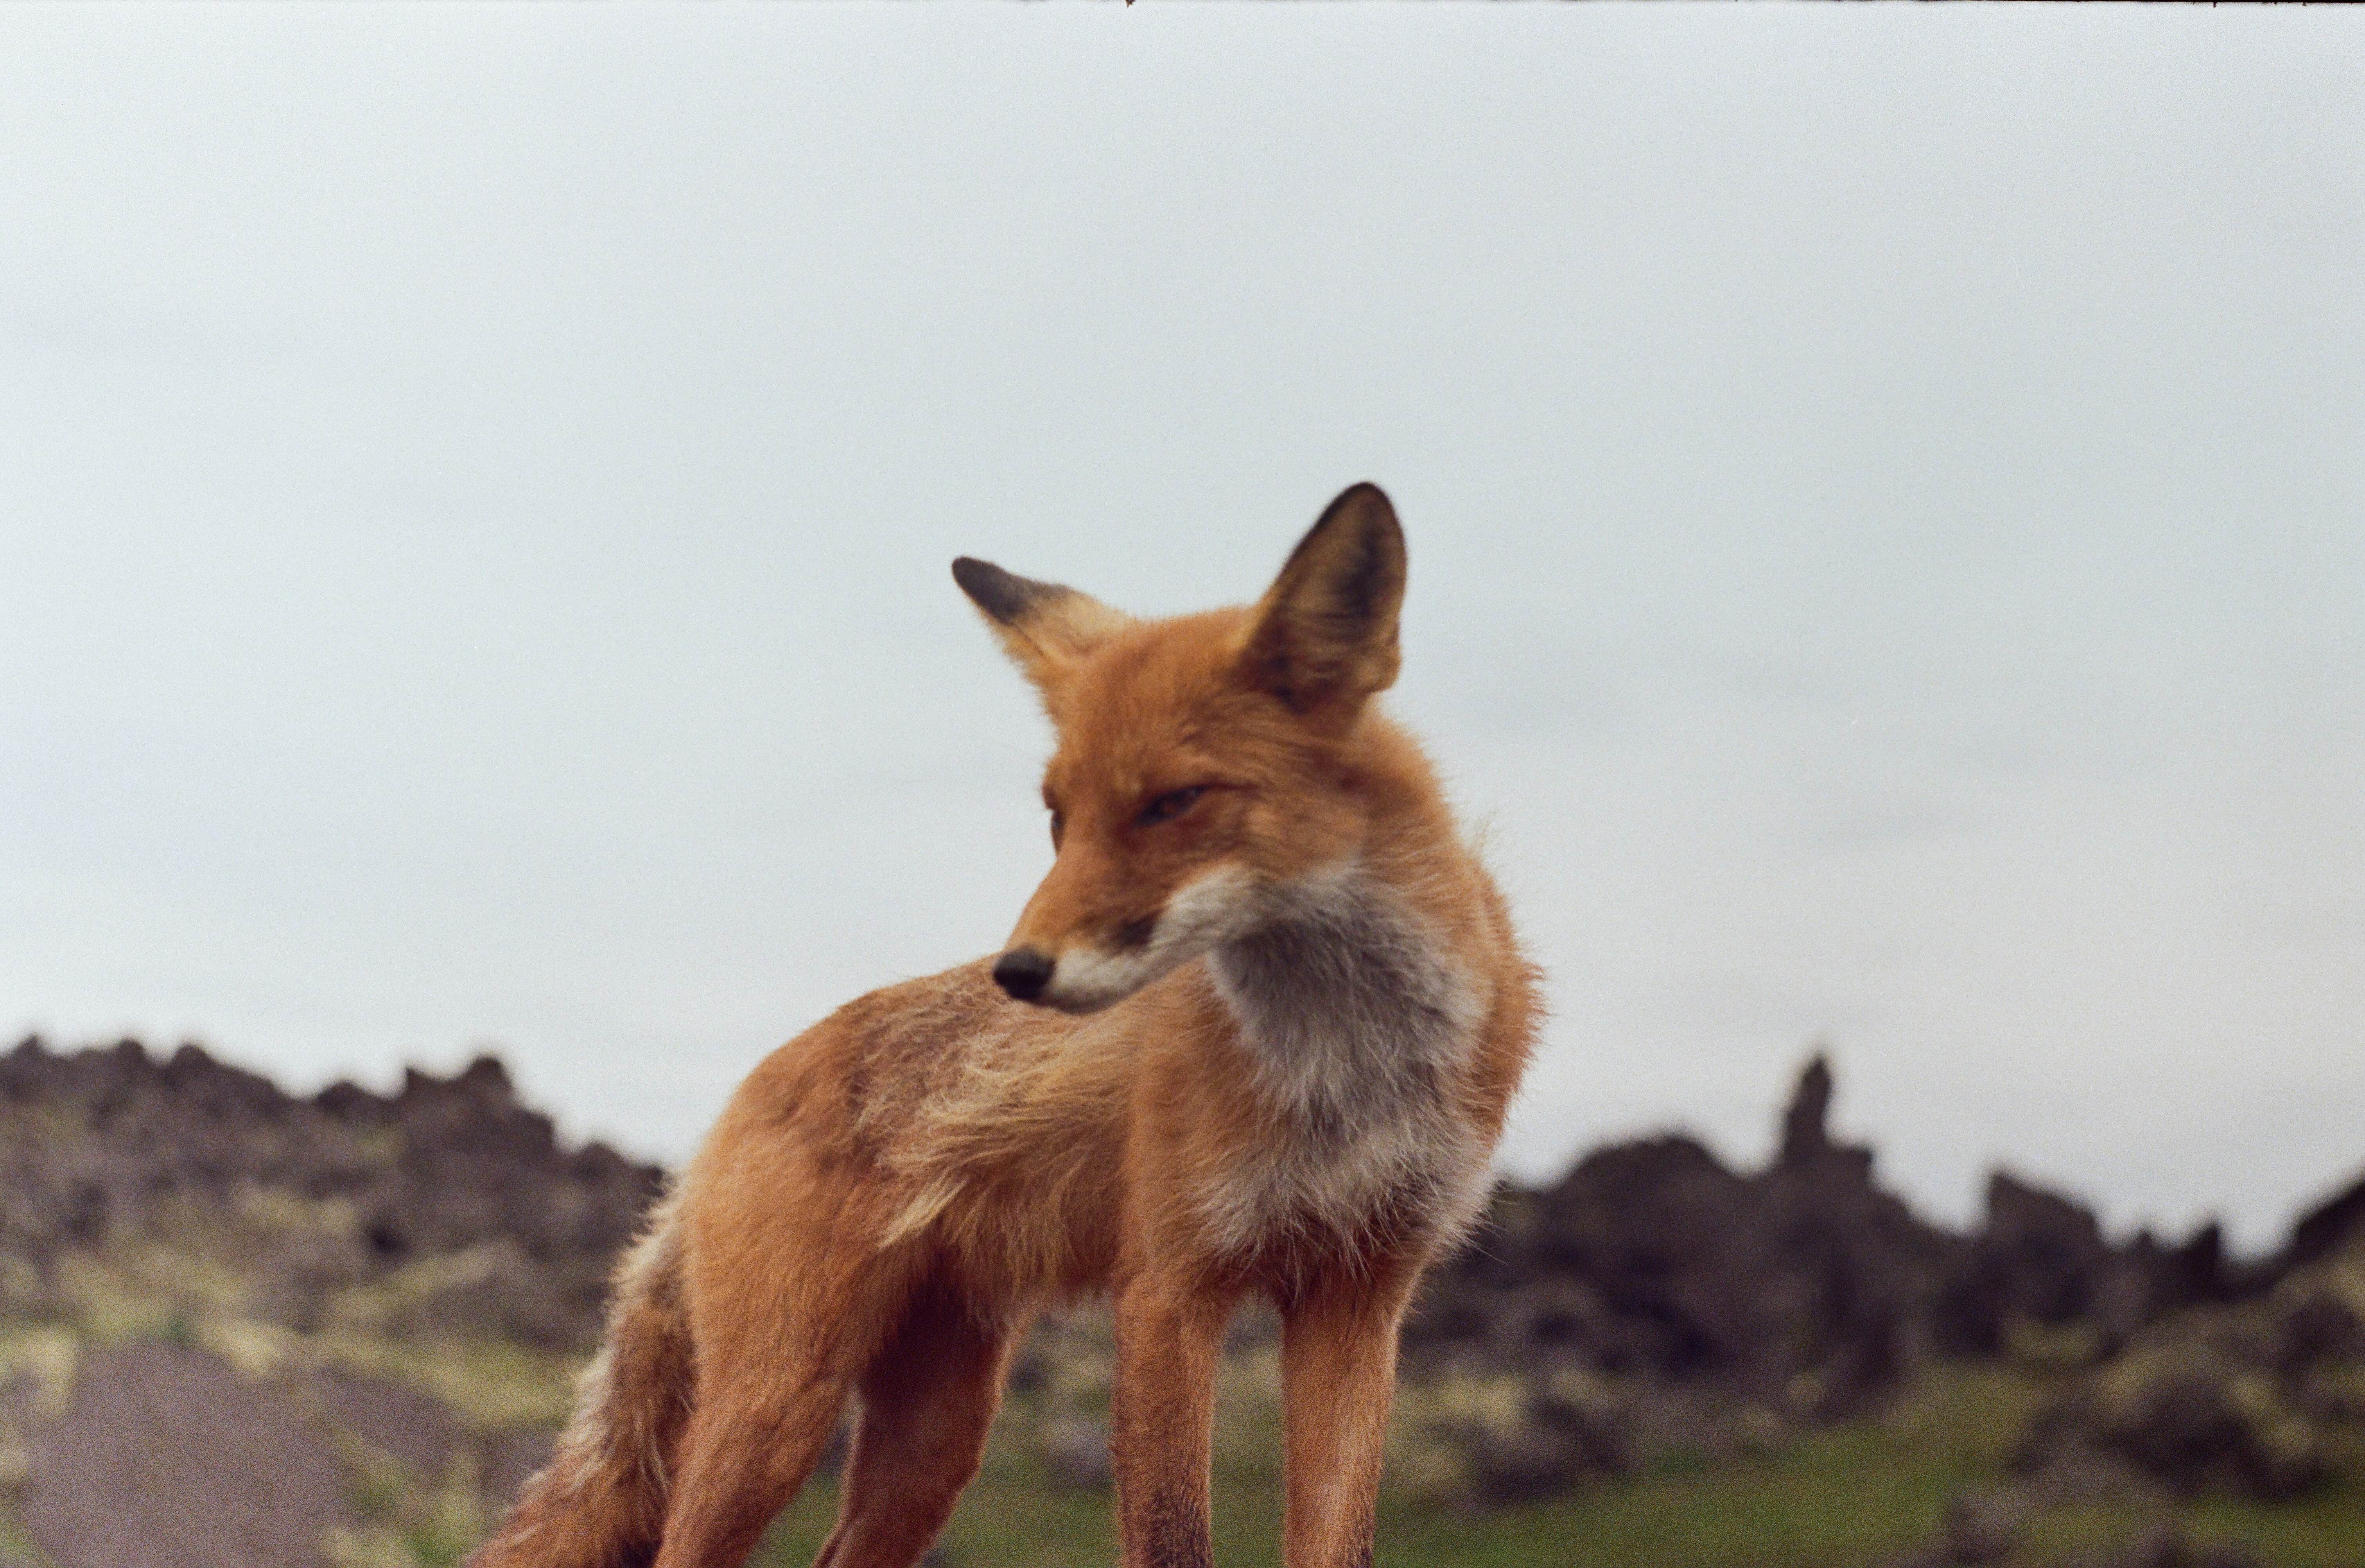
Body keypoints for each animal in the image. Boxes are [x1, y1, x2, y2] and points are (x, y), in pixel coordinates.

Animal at [469, 482, 1540, 1568]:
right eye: (1058, 817)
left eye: (1175, 803)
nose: (1017, 970)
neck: (1348, 1066)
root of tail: (729, 1104)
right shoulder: (1169, 1290)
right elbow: (1172, 1537)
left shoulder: (1361, 1294)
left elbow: (1338, 1536)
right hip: (775, 1412)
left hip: (937, 1438)